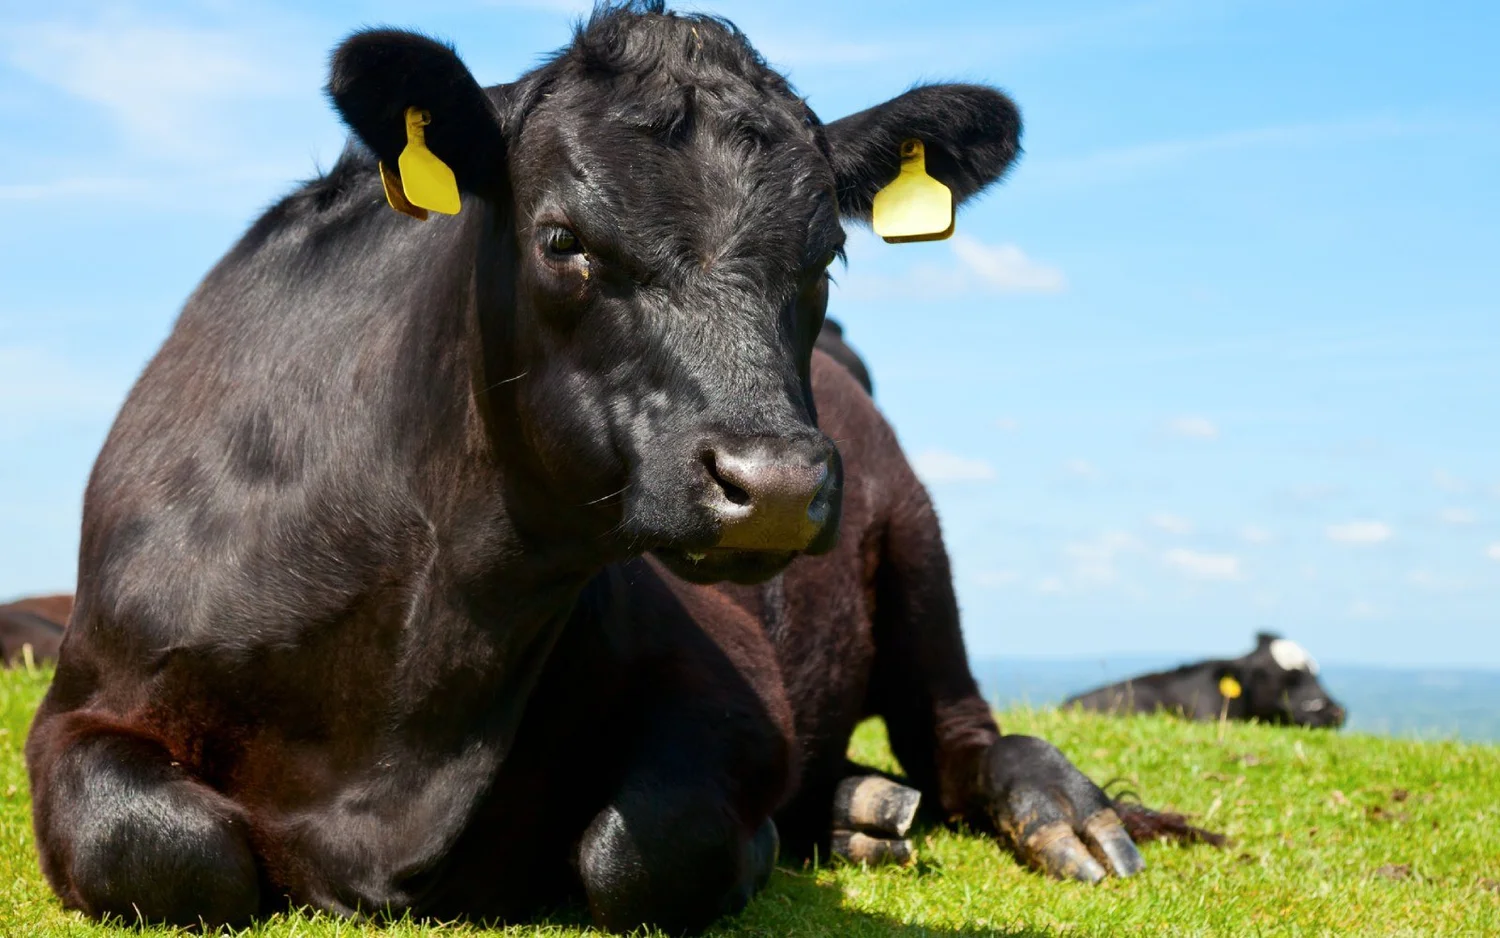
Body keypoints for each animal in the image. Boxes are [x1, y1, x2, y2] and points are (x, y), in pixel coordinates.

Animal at [24, 4, 1090, 932]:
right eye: (562, 239)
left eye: (826, 254)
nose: (779, 486)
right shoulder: (80, 706)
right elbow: (158, 849)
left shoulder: (733, 691)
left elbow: (645, 846)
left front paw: (761, 847)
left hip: (917, 551)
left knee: (961, 732)